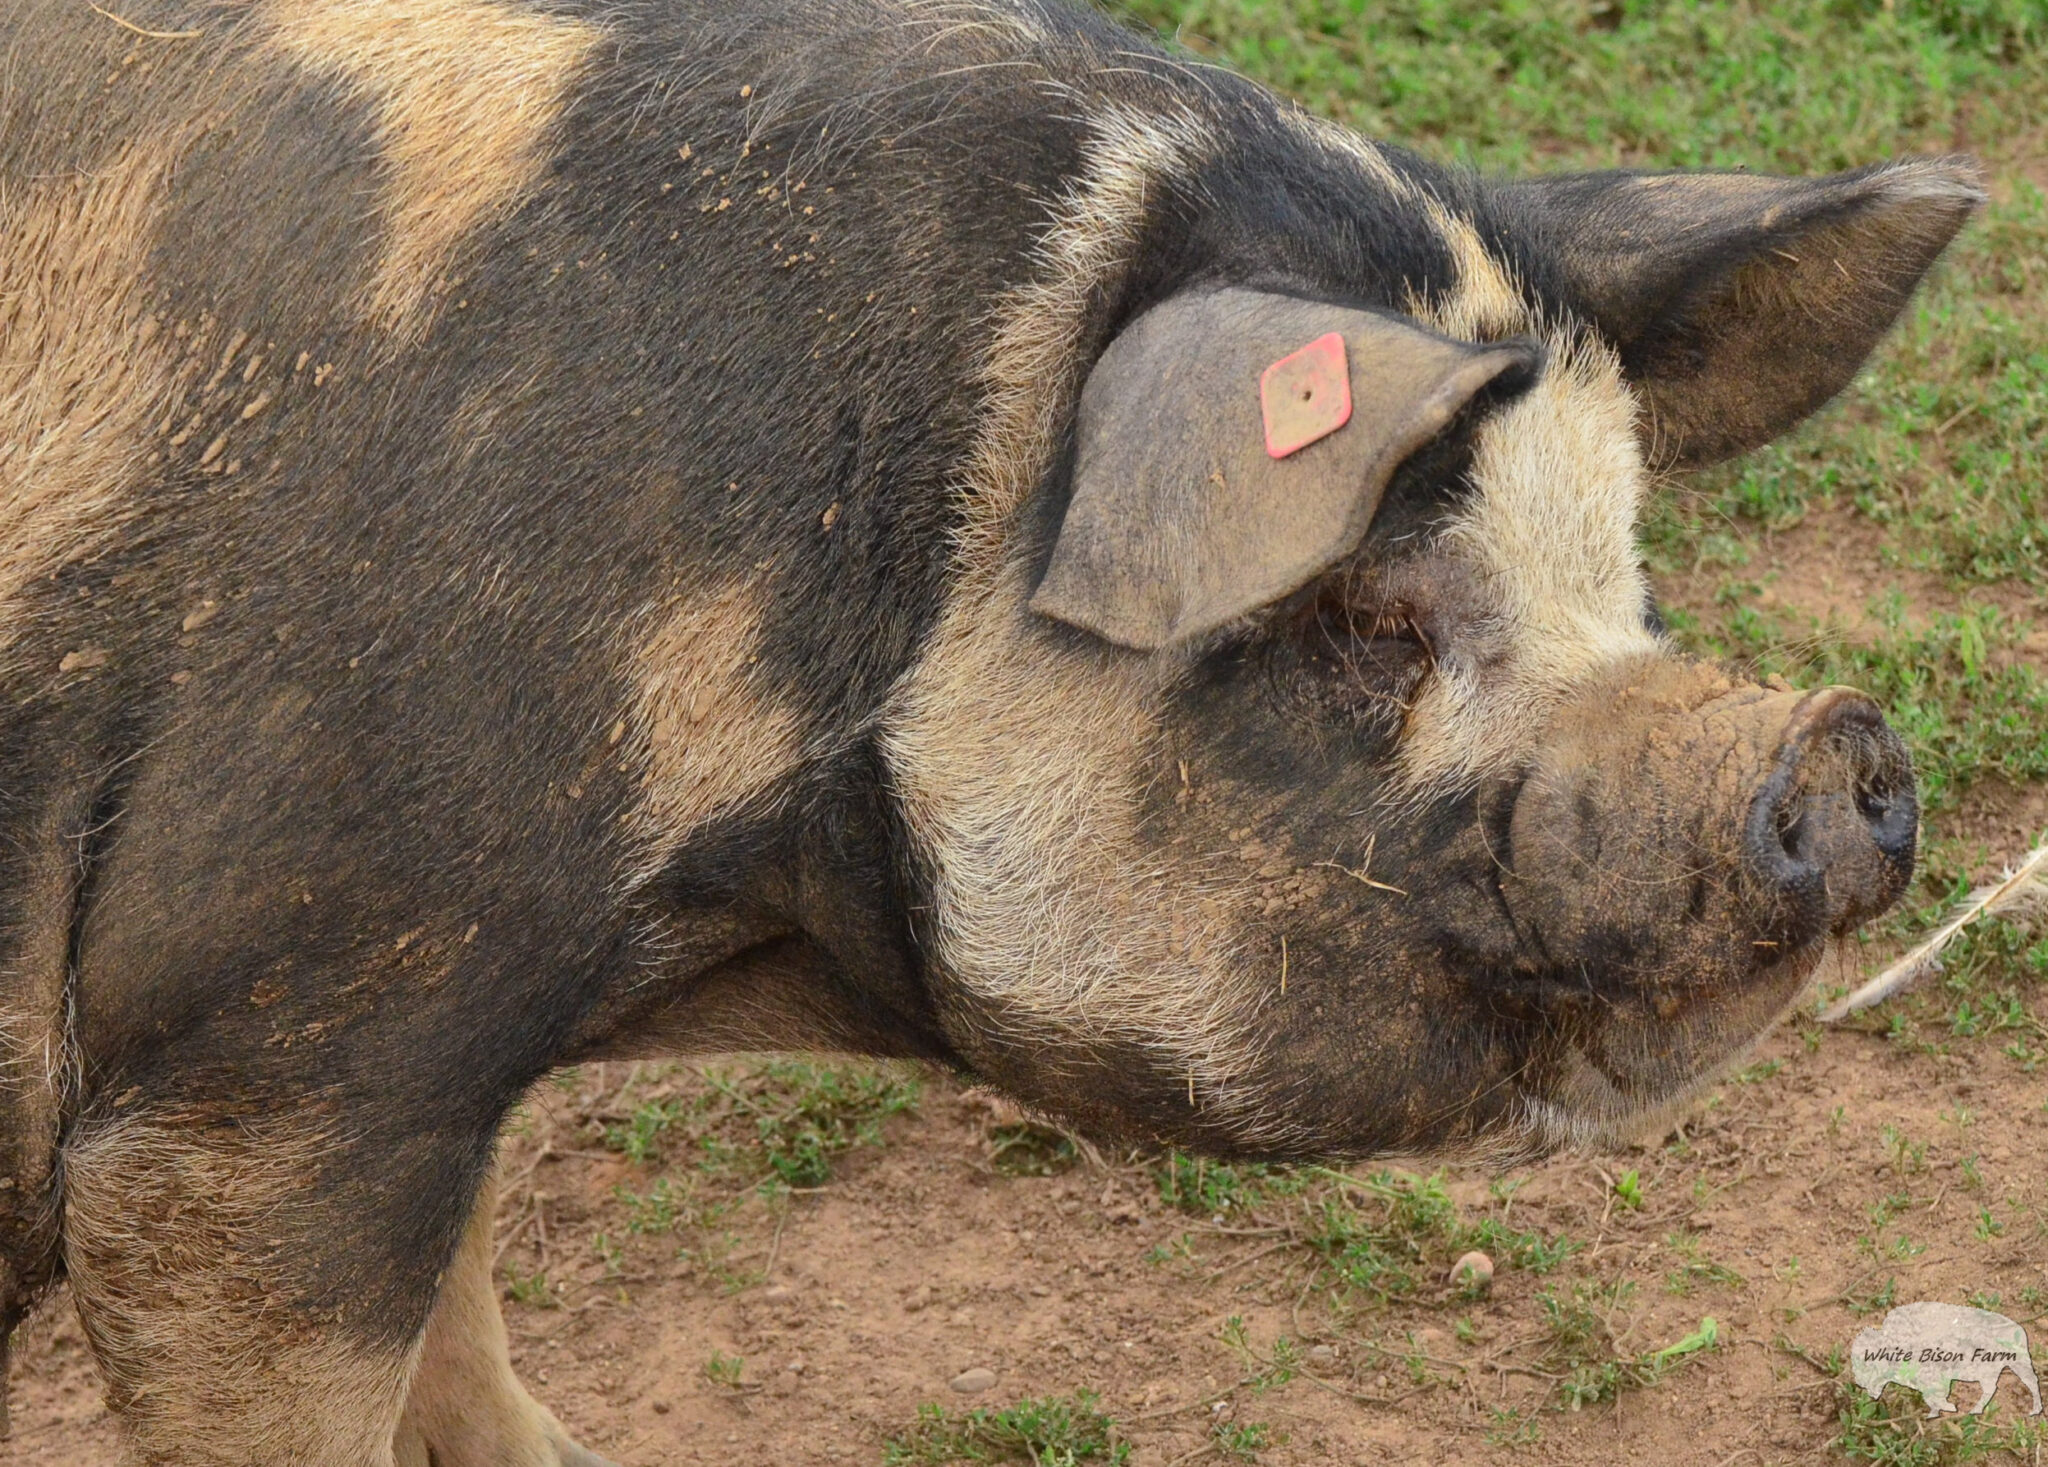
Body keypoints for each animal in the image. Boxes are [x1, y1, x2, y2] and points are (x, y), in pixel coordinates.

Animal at [0, 0, 1973, 1461]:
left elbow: (465, 1292)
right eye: (1366, 612)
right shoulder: (275, 1040)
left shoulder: (423, 1040)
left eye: (1625, 570)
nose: (1838, 745)